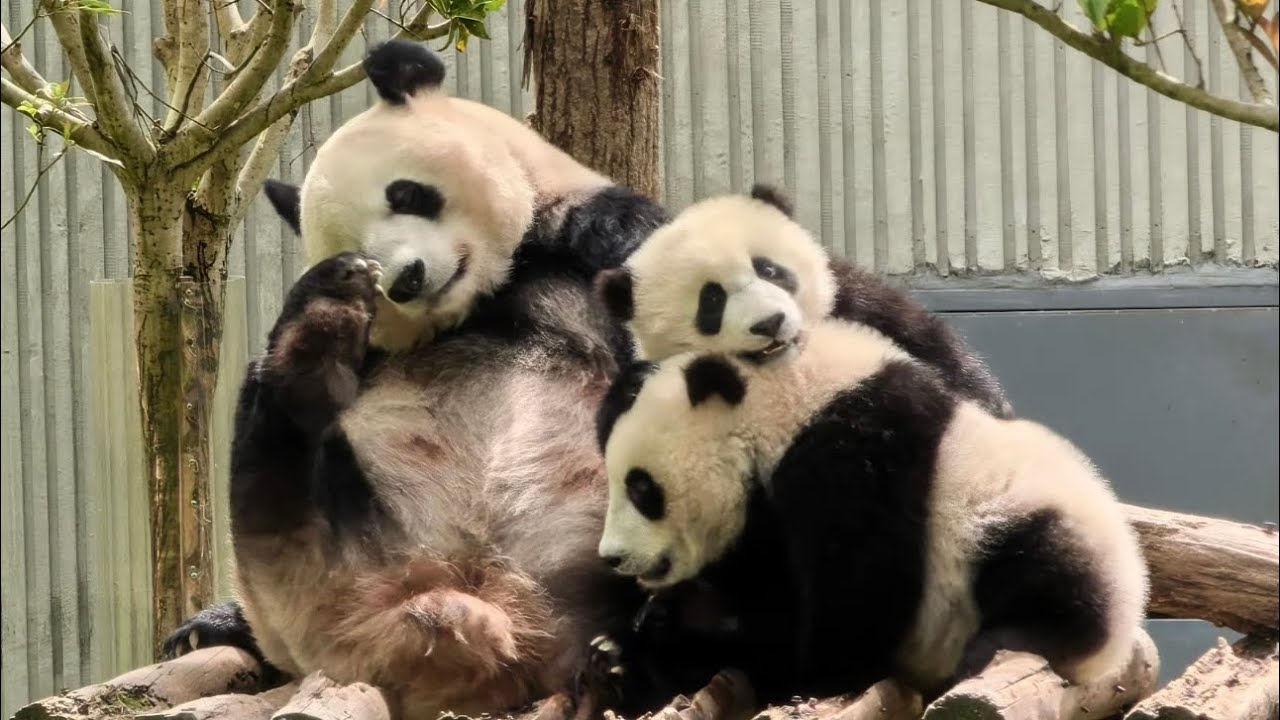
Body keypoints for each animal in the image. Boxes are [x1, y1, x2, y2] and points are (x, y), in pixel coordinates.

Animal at [162, 40, 672, 717]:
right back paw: (316, 338)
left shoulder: (598, 236)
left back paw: (628, 659)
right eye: (360, 244)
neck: (485, 295)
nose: (405, 278)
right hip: (334, 574)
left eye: (405, 193)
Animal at [592, 319, 1150, 705]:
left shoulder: (851, 464)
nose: (613, 557)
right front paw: (632, 646)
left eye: (642, 488)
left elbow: (856, 606)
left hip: (1023, 520)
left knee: (1049, 572)